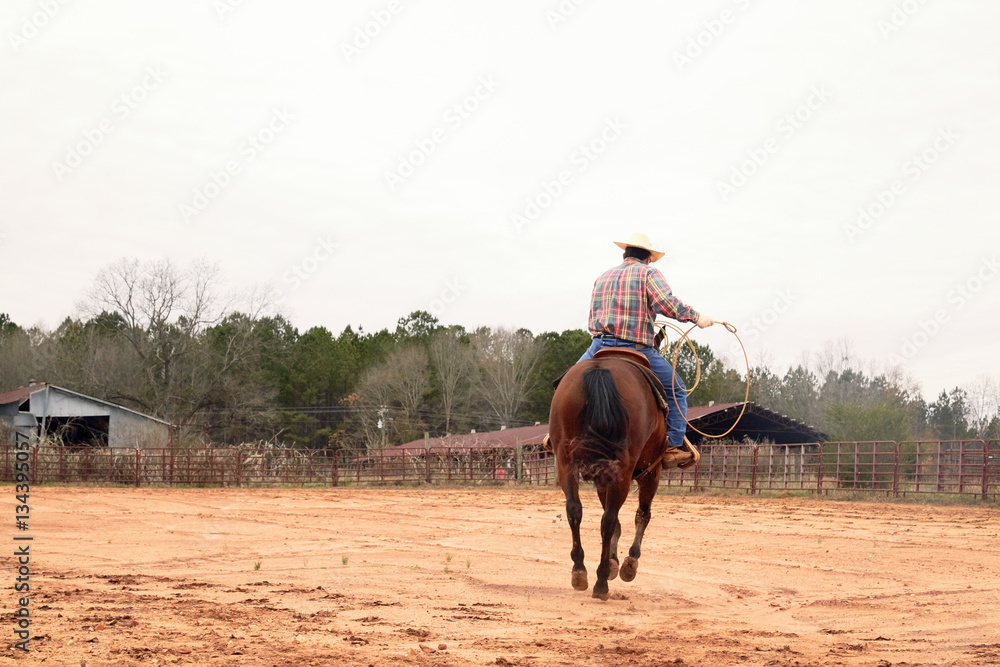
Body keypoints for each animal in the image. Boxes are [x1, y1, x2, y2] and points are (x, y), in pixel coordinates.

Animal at [546, 349, 689, 600]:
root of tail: (600, 371)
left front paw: (613, 561)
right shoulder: (651, 473)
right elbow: (642, 515)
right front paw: (628, 563)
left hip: (567, 462)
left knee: (576, 510)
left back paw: (580, 571)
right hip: (624, 469)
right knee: (610, 519)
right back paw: (601, 581)